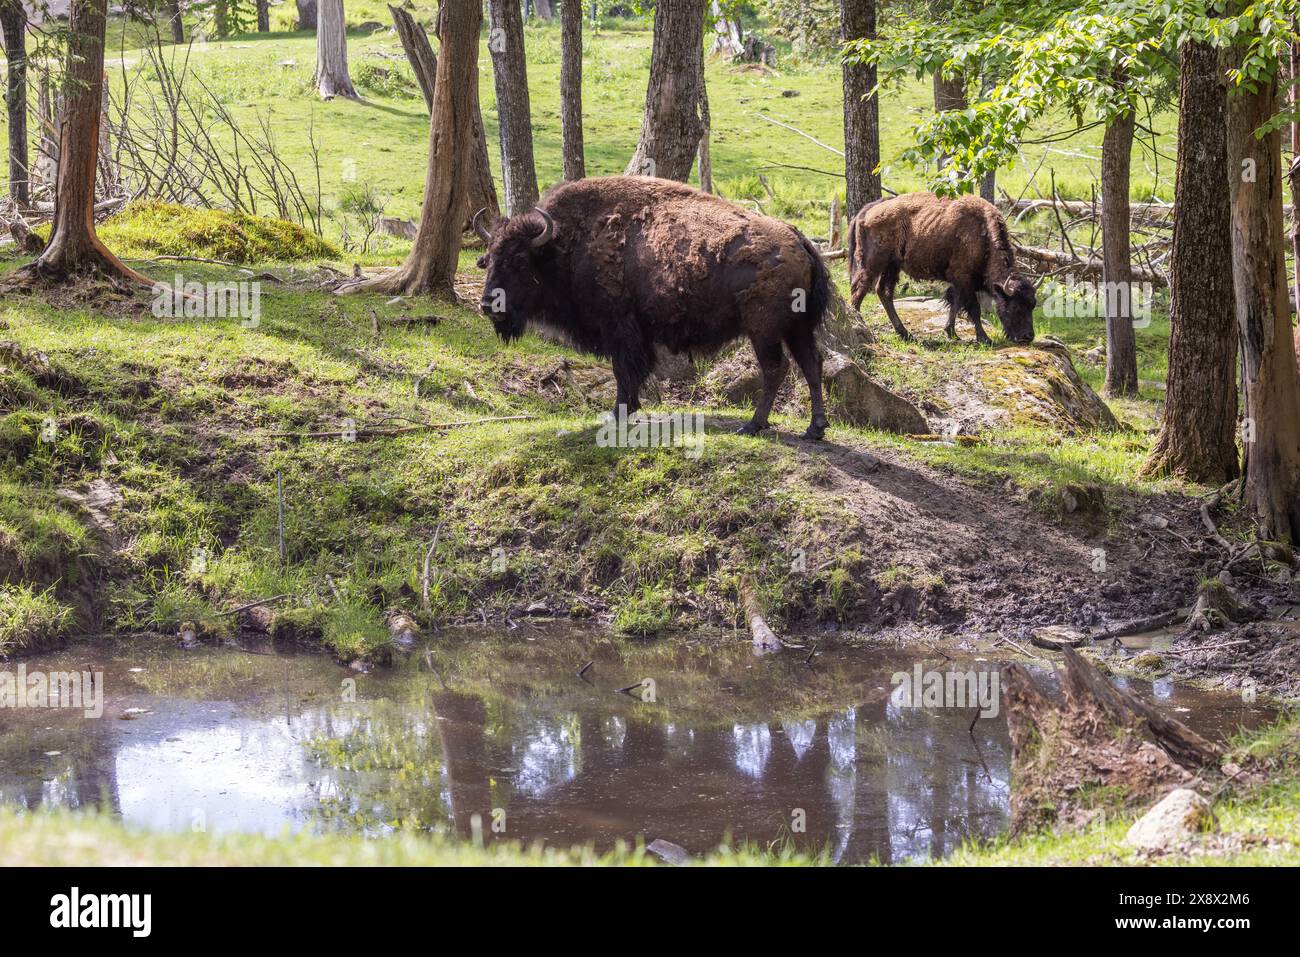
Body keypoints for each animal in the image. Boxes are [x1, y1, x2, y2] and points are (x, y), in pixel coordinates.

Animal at [474, 176, 832, 439]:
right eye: (488, 259)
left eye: (519, 261)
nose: (488, 304)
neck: (566, 246)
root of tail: (798, 239)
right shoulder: (634, 334)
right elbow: (633, 371)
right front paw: (626, 410)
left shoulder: (618, 328)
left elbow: (624, 371)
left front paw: (617, 414)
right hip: (797, 328)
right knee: (811, 363)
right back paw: (814, 430)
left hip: (764, 330)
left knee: (776, 368)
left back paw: (753, 425)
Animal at [846, 192, 1036, 345]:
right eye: (1015, 307)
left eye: (1032, 305)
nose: (1027, 337)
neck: (984, 235)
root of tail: (867, 210)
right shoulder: (963, 278)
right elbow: (974, 309)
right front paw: (984, 338)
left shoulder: (959, 282)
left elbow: (955, 303)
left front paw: (951, 332)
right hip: (872, 264)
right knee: (859, 290)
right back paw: (858, 323)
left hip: (892, 266)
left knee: (884, 292)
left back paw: (906, 334)